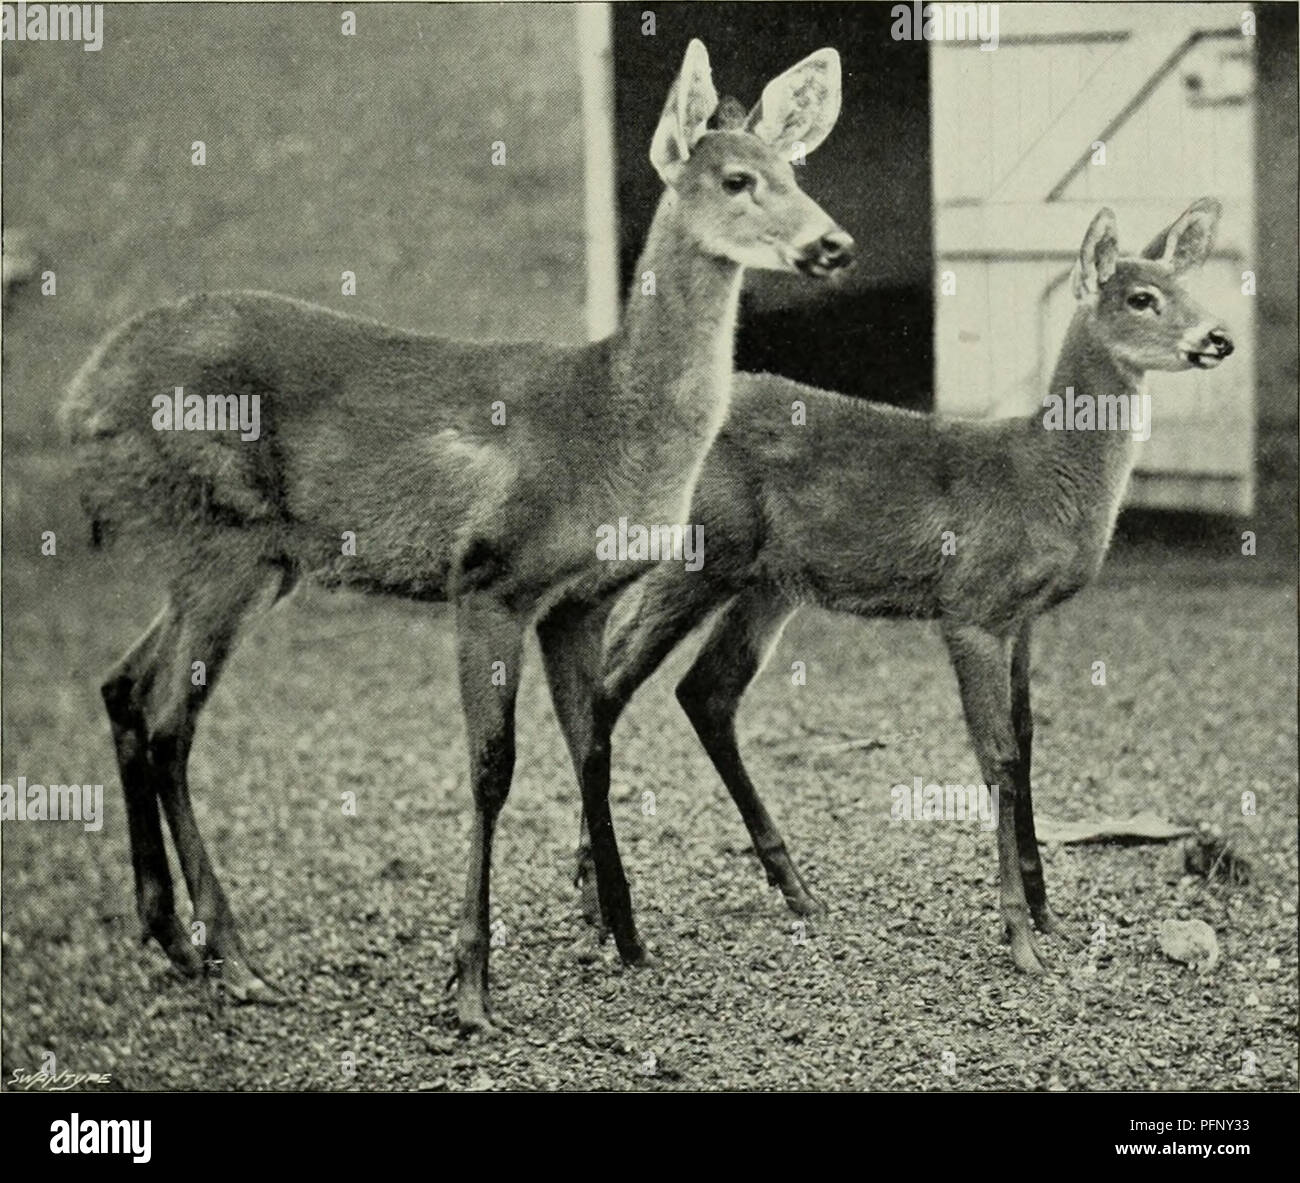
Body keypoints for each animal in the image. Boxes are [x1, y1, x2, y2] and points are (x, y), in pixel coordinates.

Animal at [61, 39, 855, 1034]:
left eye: (797, 172)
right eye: (737, 178)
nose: (835, 244)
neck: (611, 424)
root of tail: (80, 396)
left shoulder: (580, 600)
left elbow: (593, 748)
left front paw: (626, 940)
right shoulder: (487, 579)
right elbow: (491, 767)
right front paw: (471, 985)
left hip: (246, 559)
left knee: (123, 687)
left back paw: (170, 936)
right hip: (222, 538)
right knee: (170, 719)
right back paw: (235, 960)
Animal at [555, 199, 1234, 976]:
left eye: (1186, 285)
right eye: (1142, 297)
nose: (1219, 337)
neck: (1040, 477)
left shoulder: (1023, 619)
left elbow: (1027, 743)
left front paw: (1045, 910)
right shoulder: (971, 606)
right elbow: (999, 757)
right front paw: (1020, 937)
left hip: (771, 583)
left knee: (703, 690)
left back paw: (784, 889)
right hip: (702, 551)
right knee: (607, 689)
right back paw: (612, 915)